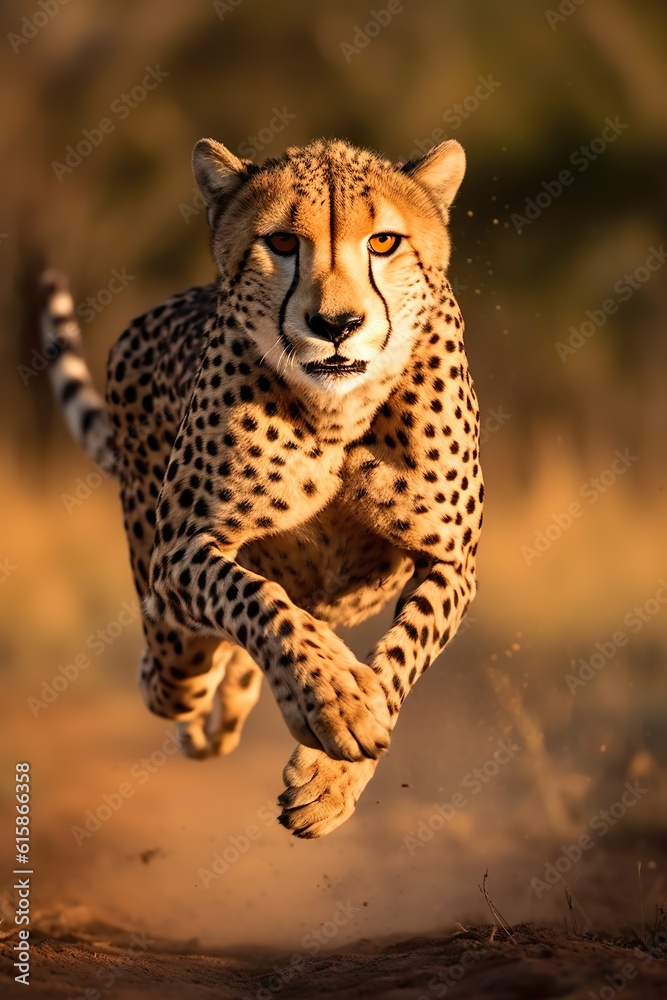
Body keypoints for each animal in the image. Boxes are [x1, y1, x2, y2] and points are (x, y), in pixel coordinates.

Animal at [41, 136, 484, 838]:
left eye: (384, 242)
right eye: (280, 242)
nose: (336, 324)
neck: (339, 409)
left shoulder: (450, 561)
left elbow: (402, 654)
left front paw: (331, 775)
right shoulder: (183, 550)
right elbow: (256, 598)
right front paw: (333, 697)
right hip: (164, 623)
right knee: (172, 672)